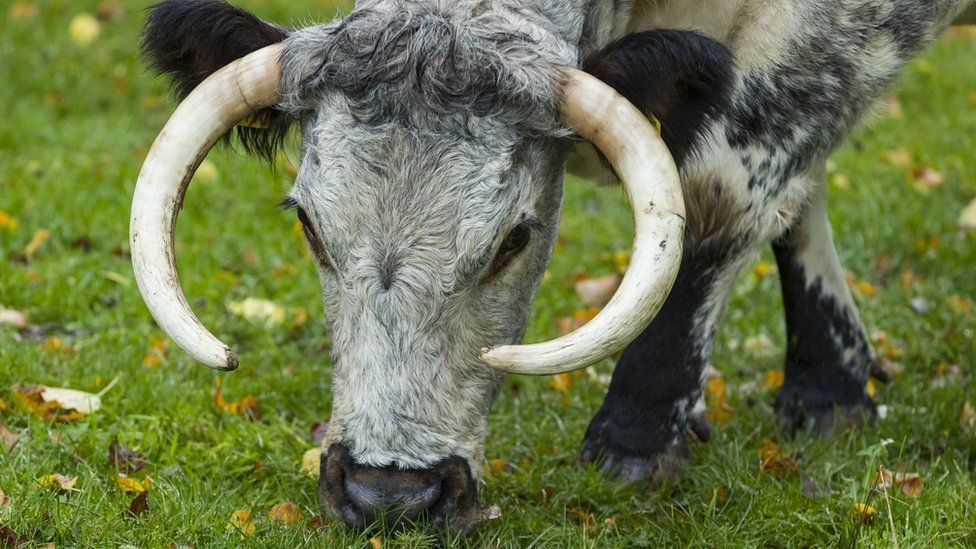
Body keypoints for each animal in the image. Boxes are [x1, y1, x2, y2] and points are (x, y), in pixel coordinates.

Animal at [134, 0, 974, 533]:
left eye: (514, 238)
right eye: (308, 224)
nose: (389, 496)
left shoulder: (820, 39)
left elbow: (720, 192)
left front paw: (637, 436)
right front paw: (830, 386)